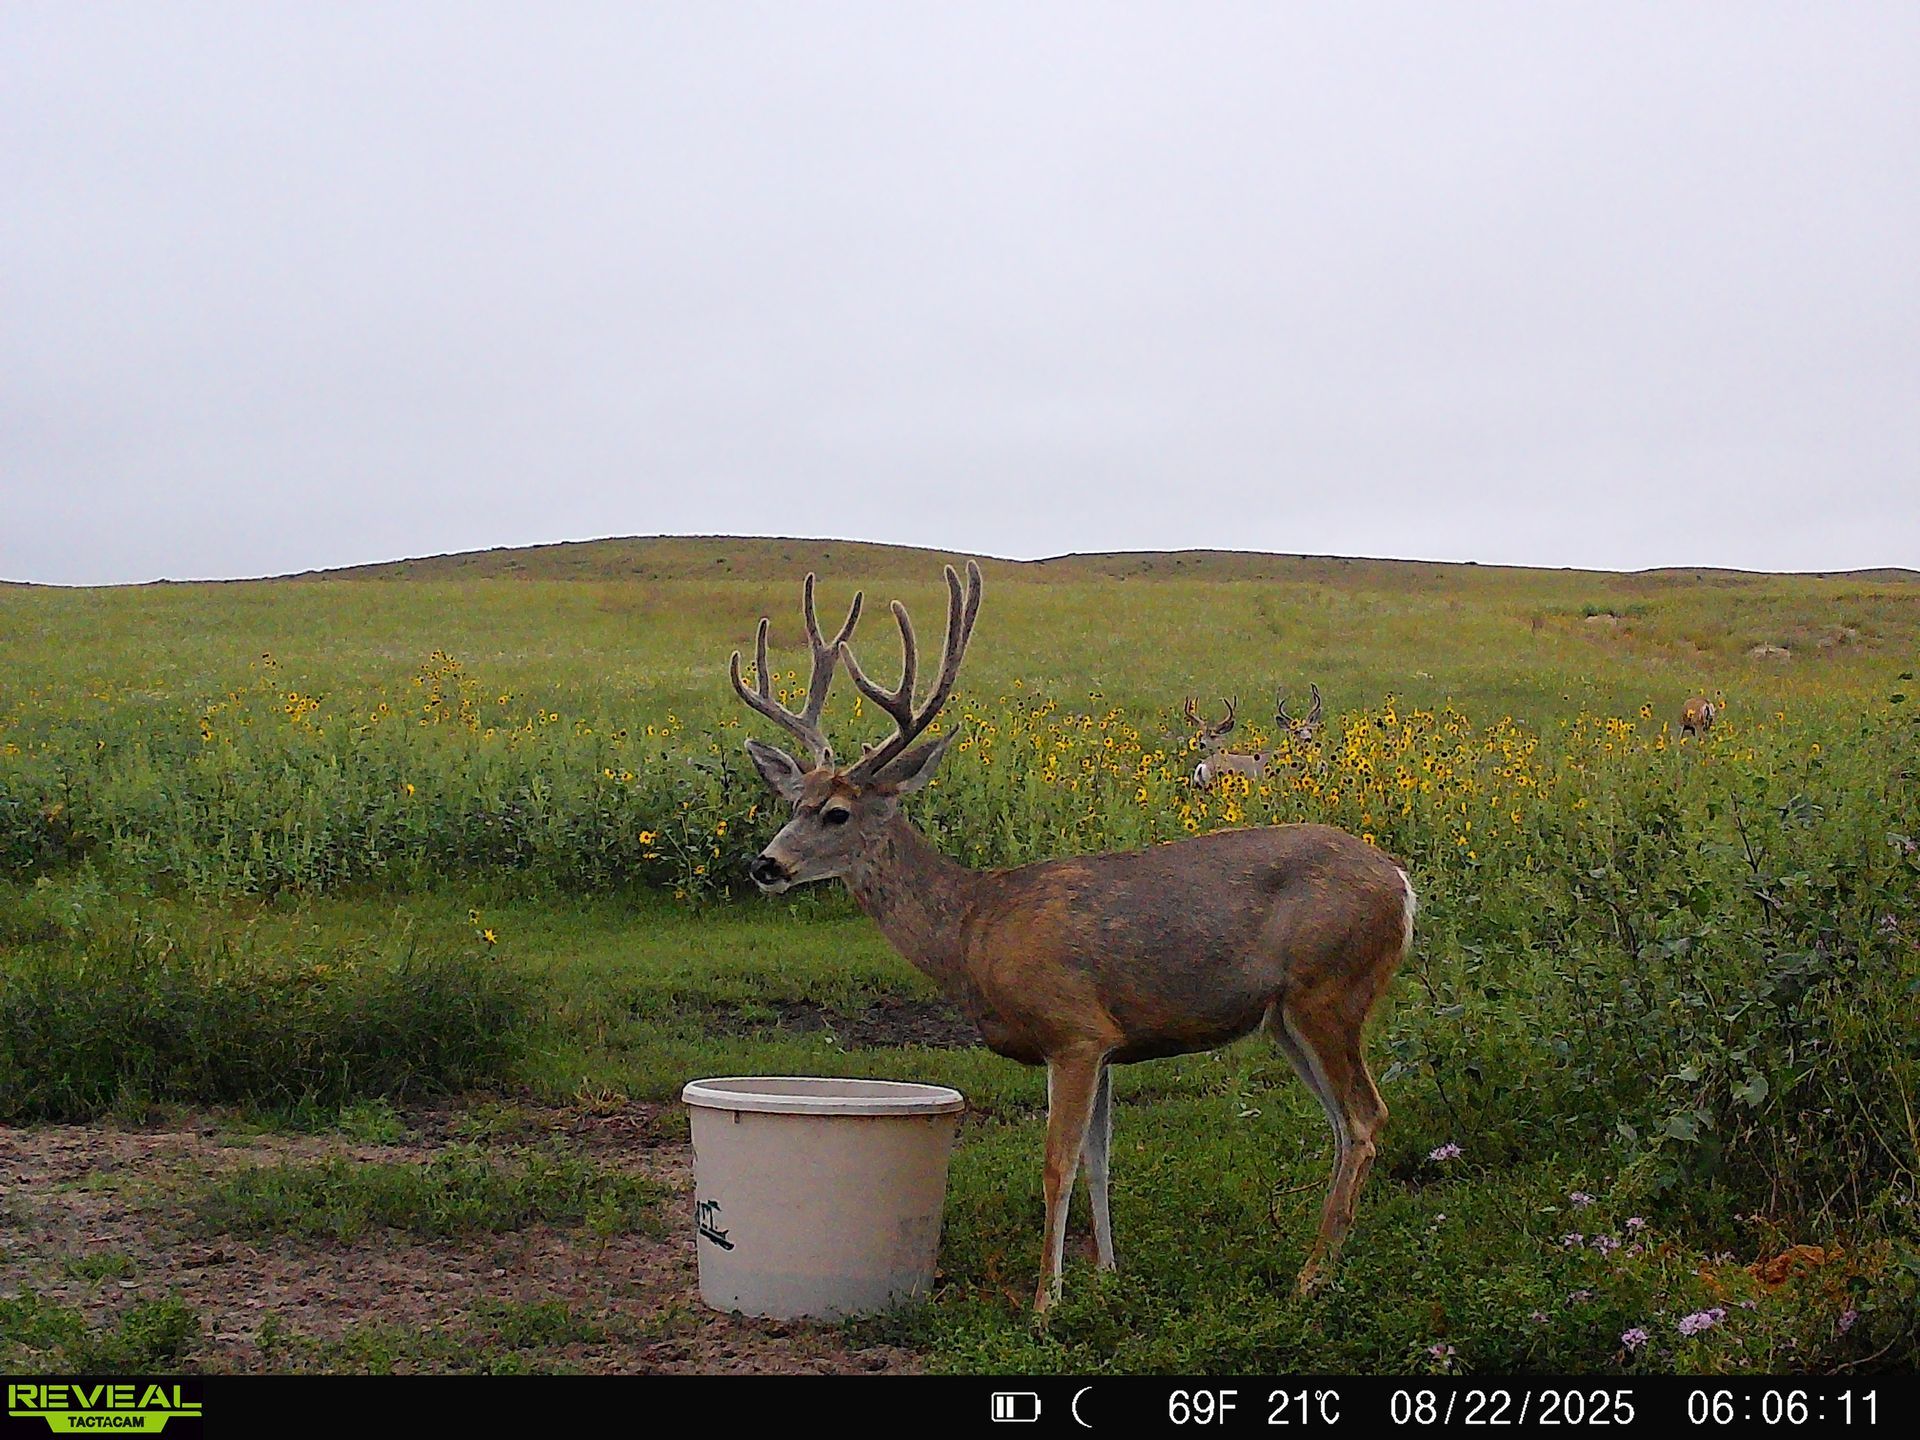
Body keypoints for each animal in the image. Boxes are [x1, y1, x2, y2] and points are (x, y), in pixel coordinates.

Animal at [729, 564, 1417, 1312]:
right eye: (790, 803)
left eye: (836, 813)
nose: (766, 865)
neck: (974, 928)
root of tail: (1401, 883)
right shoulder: (1111, 1043)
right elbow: (1099, 1160)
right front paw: (1108, 1276)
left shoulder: (1073, 1031)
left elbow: (1057, 1163)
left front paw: (1045, 1303)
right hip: (1284, 1016)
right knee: (1341, 1125)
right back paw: (1320, 1265)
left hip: (1331, 988)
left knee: (1365, 1118)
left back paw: (1311, 1278)